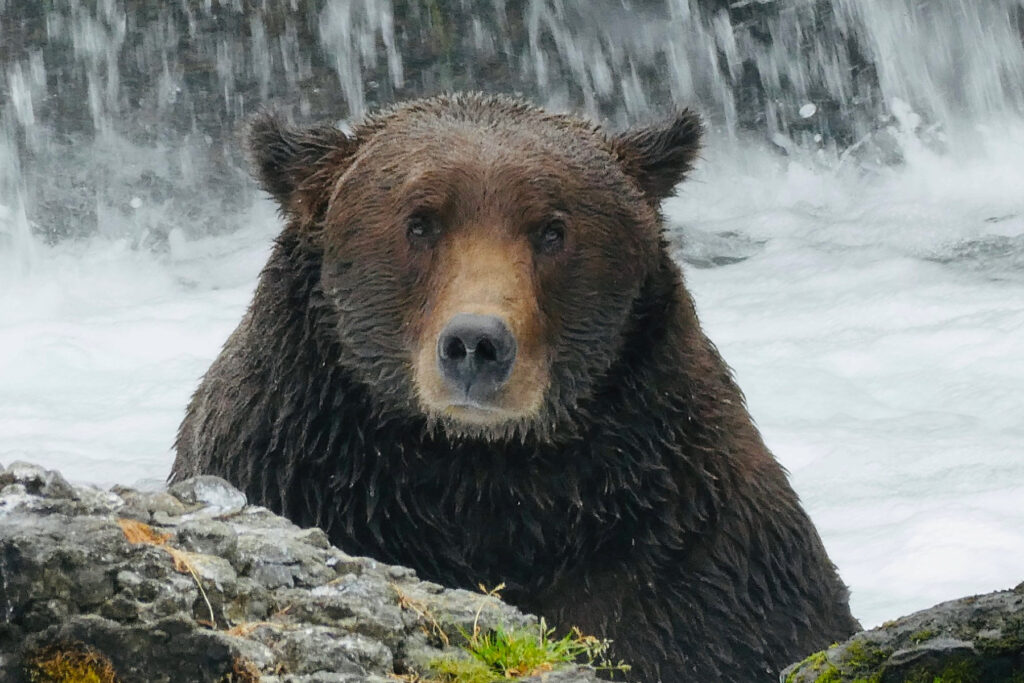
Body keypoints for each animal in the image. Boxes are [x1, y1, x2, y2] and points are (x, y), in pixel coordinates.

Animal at [171, 93, 859, 681]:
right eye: (419, 222)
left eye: (552, 229)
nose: (476, 345)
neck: (482, 482)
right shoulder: (293, 470)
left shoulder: (694, 549)